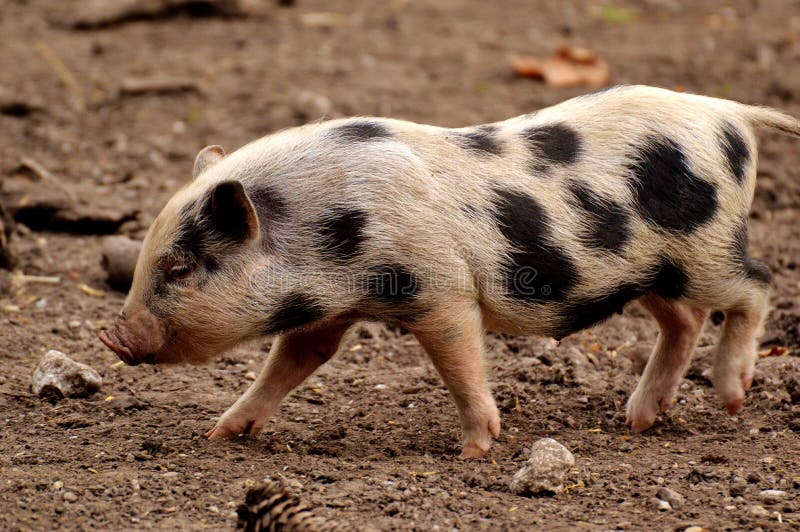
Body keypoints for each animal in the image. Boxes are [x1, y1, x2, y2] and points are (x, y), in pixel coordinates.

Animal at [98, 85, 800, 458]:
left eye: (181, 268)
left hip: (705, 250)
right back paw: (637, 420)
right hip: (648, 273)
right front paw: (222, 434)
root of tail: (729, 112)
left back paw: (731, 396)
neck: (331, 226)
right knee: (683, 319)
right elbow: (294, 360)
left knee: (758, 282)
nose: (115, 336)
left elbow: (459, 356)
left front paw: (475, 449)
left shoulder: (440, 288)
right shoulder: (327, 307)